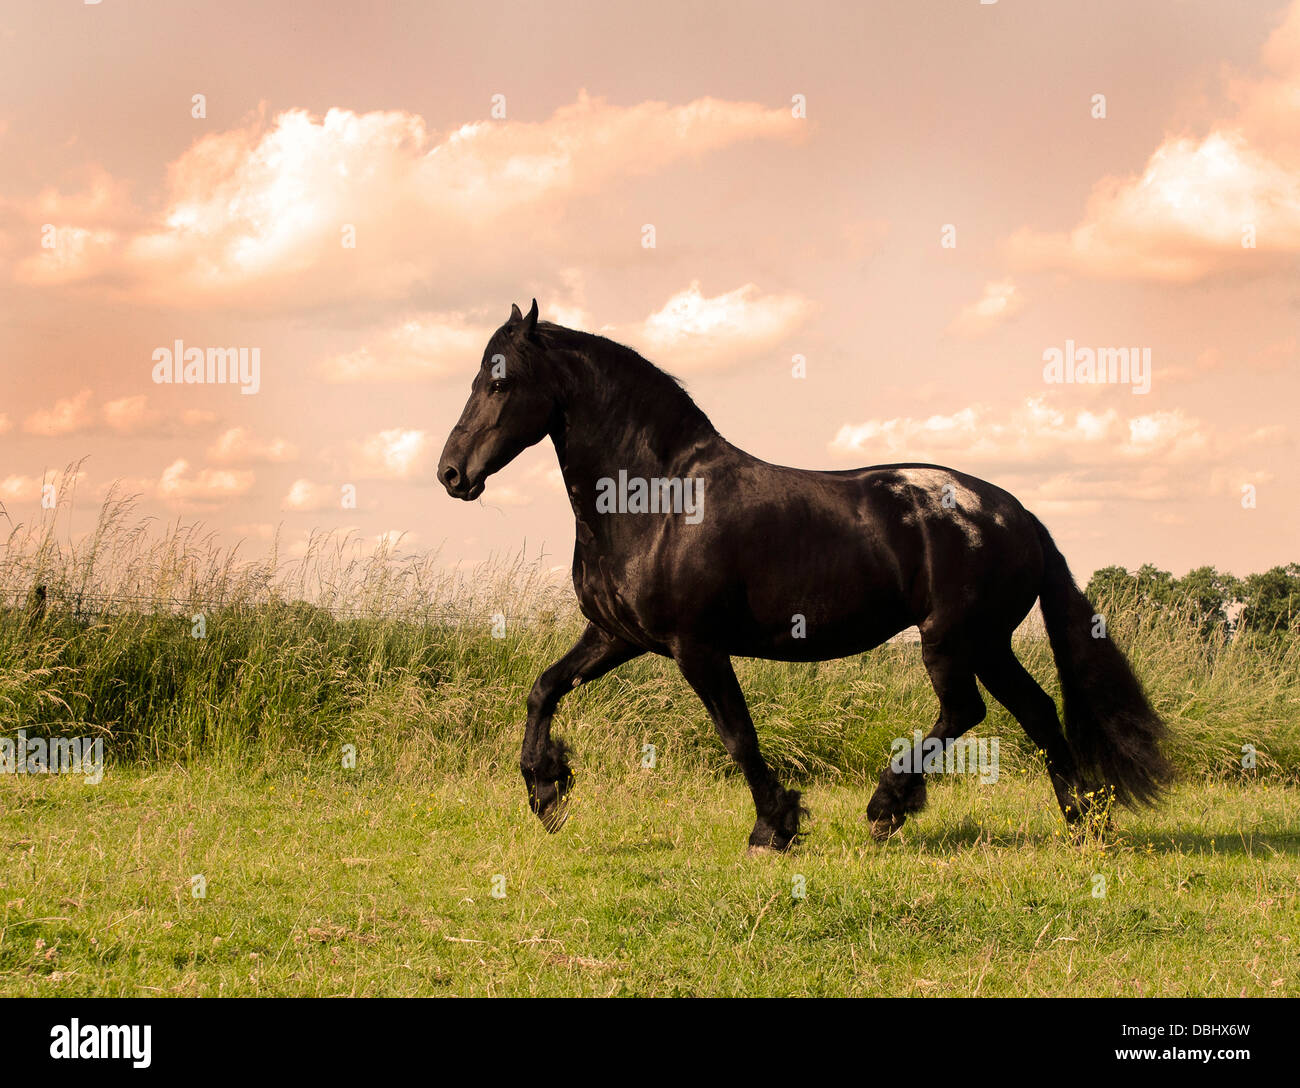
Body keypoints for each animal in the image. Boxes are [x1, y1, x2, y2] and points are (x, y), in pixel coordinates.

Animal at [438, 300, 1173, 852]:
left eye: (501, 382)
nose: (451, 474)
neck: (655, 501)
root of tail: (1016, 513)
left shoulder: (696, 646)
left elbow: (738, 735)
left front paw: (775, 826)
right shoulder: (616, 636)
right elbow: (543, 689)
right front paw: (546, 792)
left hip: (950, 639)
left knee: (967, 710)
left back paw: (888, 806)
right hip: (988, 642)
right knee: (1039, 712)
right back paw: (1085, 825)